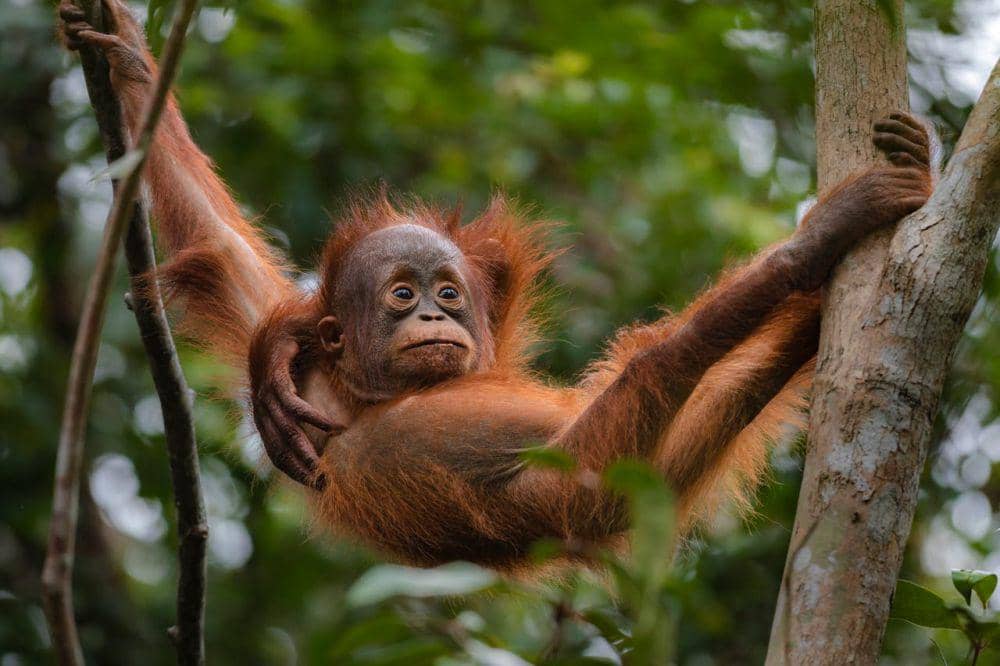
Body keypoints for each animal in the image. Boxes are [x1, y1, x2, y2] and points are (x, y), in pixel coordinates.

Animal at [60, 0, 934, 570]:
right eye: (402, 296)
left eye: (447, 294)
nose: (435, 320)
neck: (360, 394)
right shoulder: (407, 444)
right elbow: (588, 468)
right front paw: (817, 240)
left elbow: (214, 241)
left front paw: (128, 55)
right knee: (656, 375)